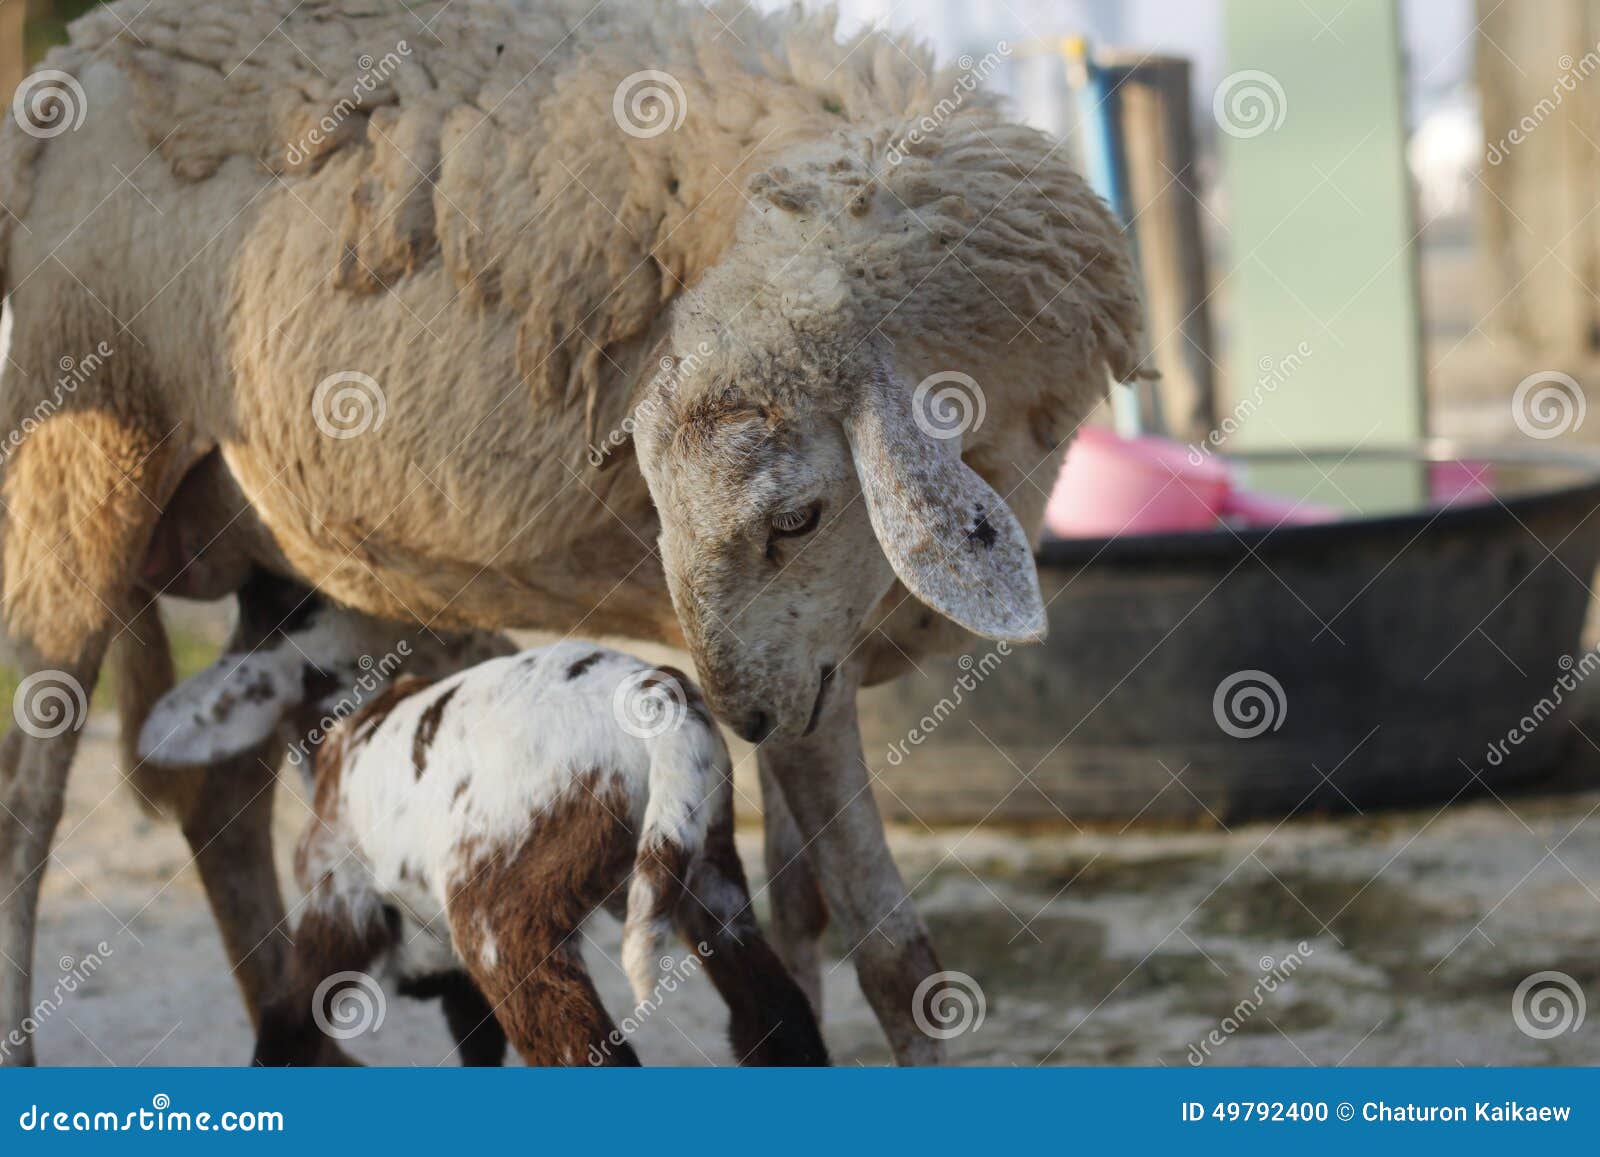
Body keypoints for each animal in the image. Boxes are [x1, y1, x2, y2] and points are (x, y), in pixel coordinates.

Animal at [137, 571, 828, 1067]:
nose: (252, 578)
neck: (348, 712)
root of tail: (659, 705)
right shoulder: (448, 967)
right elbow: (476, 1045)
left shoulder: (333, 900)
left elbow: (285, 1030)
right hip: (710, 869)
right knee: (777, 1023)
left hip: (500, 912)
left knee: (584, 1053)